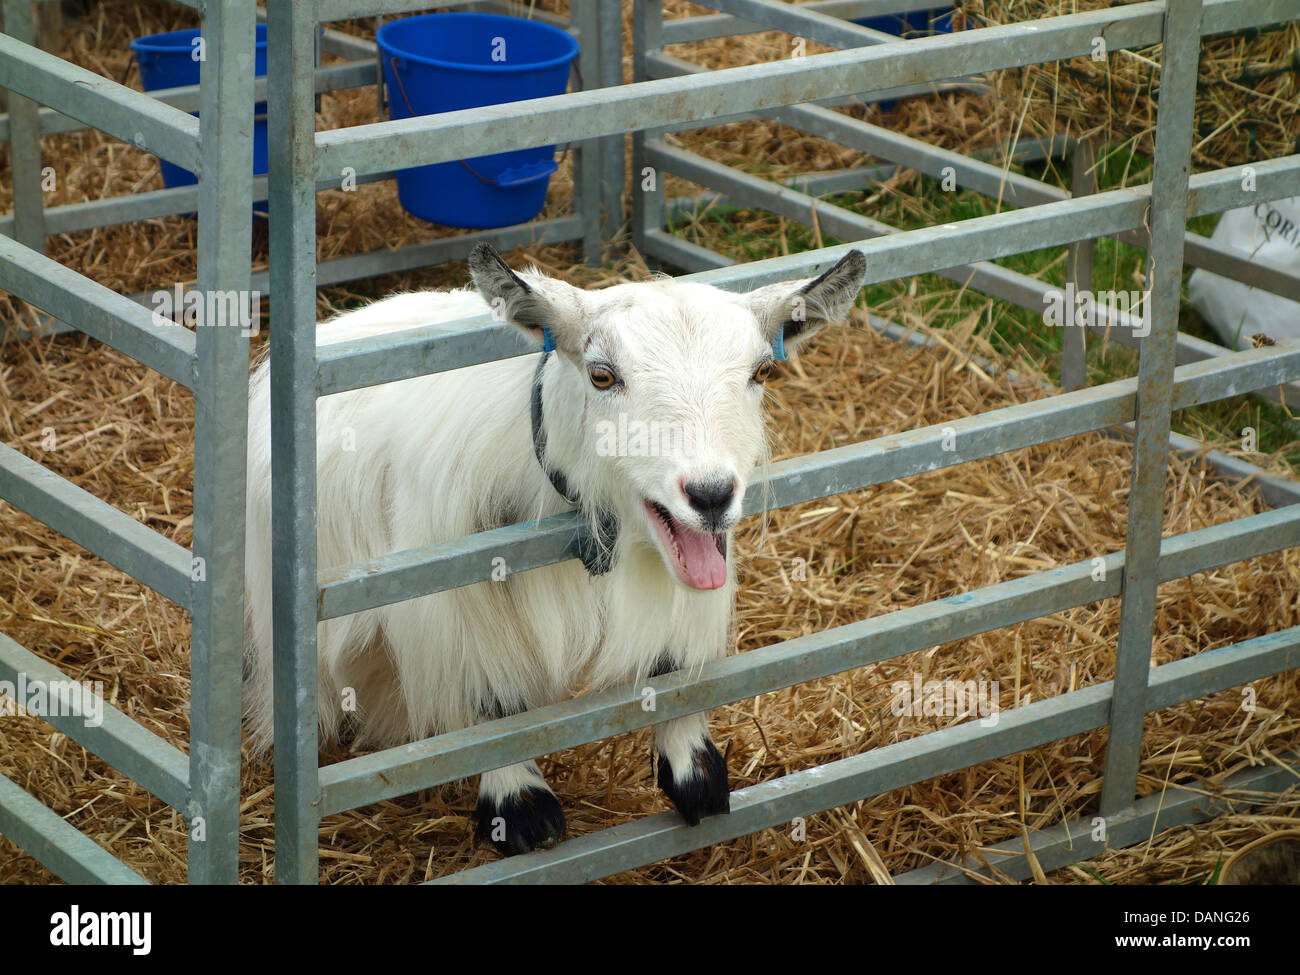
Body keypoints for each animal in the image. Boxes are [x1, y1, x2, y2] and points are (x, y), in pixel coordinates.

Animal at [243, 243, 867, 855]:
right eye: (602, 375)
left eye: (762, 371)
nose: (711, 494)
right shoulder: (450, 592)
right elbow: (494, 699)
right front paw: (520, 808)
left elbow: (672, 662)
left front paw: (696, 774)